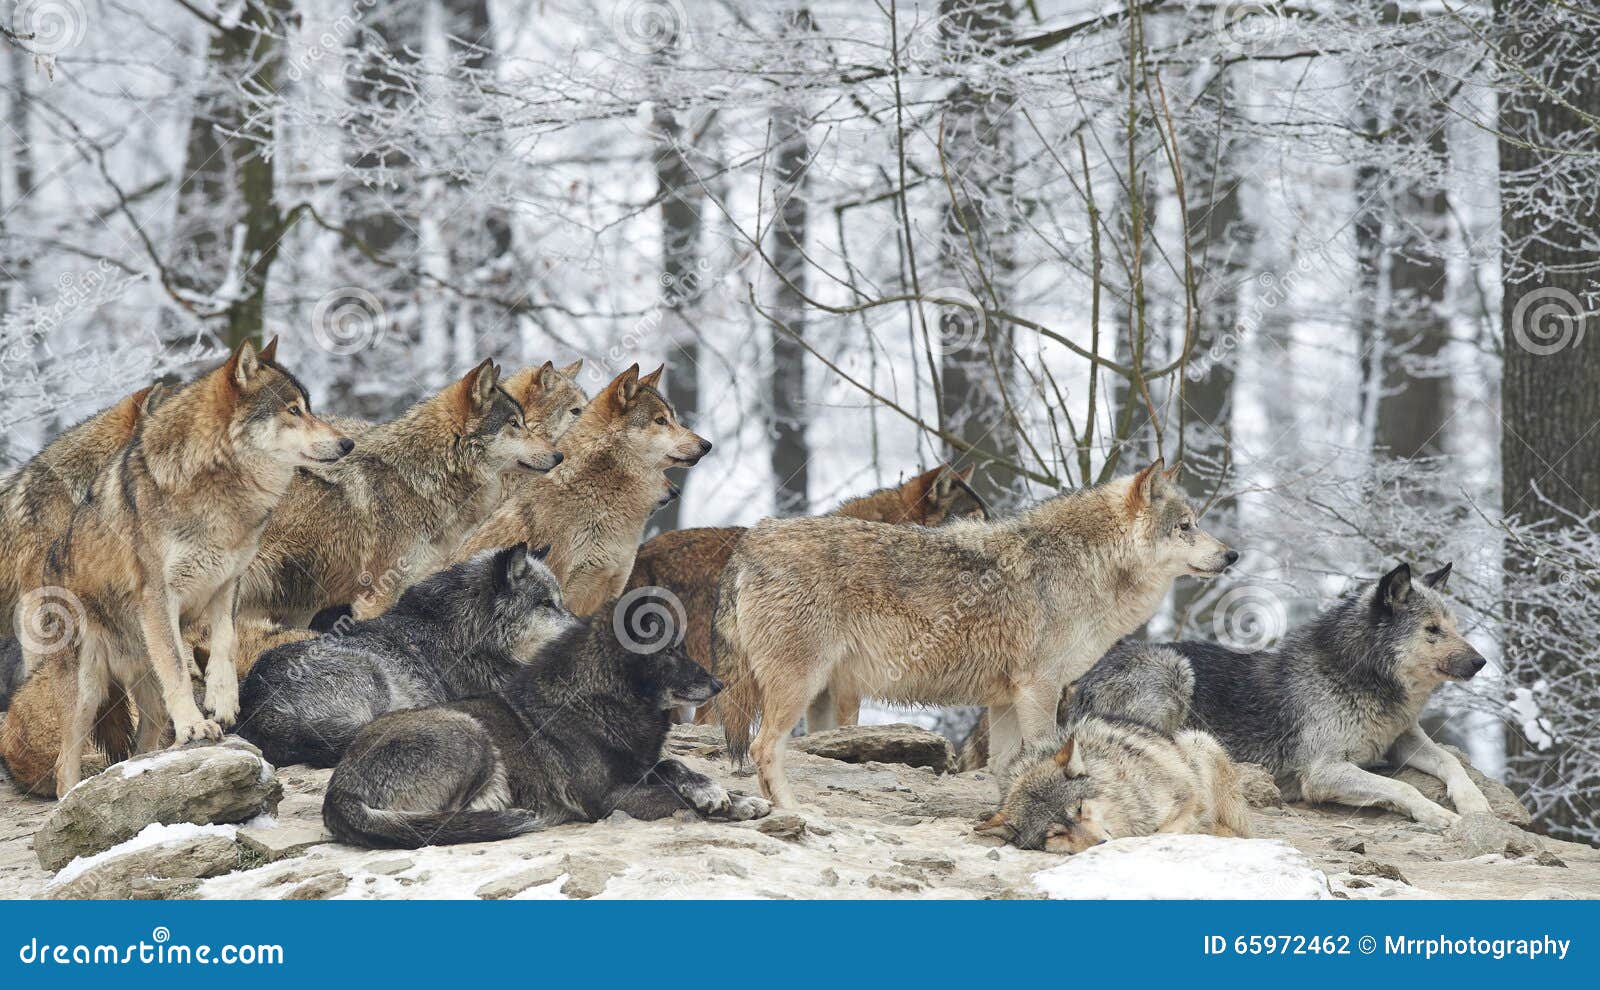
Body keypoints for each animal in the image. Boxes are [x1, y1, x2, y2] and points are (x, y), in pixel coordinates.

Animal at [39, 339, 351, 795]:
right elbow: (178, 670)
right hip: (86, 690)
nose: (347, 444)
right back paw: (74, 797)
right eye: (293, 410)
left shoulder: (228, 583)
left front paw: (222, 702)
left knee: (143, 740)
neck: (219, 489)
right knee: (65, 764)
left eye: (307, 408)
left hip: (143, 692)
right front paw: (194, 726)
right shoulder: (159, 597)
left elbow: (225, 643)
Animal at [237, 544, 578, 768]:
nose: (581, 626)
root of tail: (259, 708)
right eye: (546, 603)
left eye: (561, 601)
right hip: (372, 672)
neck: (465, 633)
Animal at [322, 594, 771, 849]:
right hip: (467, 731)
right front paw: (715, 799)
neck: (597, 700)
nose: (720, 684)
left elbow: (672, 764)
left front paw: (733, 795)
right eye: (671, 651)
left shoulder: (637, 768)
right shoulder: (607, 799)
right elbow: (672, 788)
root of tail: (338, 792)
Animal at [715, 460, 1235, 808]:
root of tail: (750, 541)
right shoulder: (1039, 690)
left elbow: (1005, 766)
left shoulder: (1003, 700)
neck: (1085, 565)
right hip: (798, 686)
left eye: (1198, 523)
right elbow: (1044, 752)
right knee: (762, 748)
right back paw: (793, 810)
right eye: (1185, 526)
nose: (1232, 555)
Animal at [1097, 562, 1490, 828]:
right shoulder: (1322, 771)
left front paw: (1474, 803)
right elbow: (1403, 789)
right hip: (1173, 669)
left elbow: (1450, 761)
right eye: (1432, 630)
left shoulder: (1402, 738)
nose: (1481, 661)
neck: (1355, 675)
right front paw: (1438, 814)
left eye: (1454, 627)